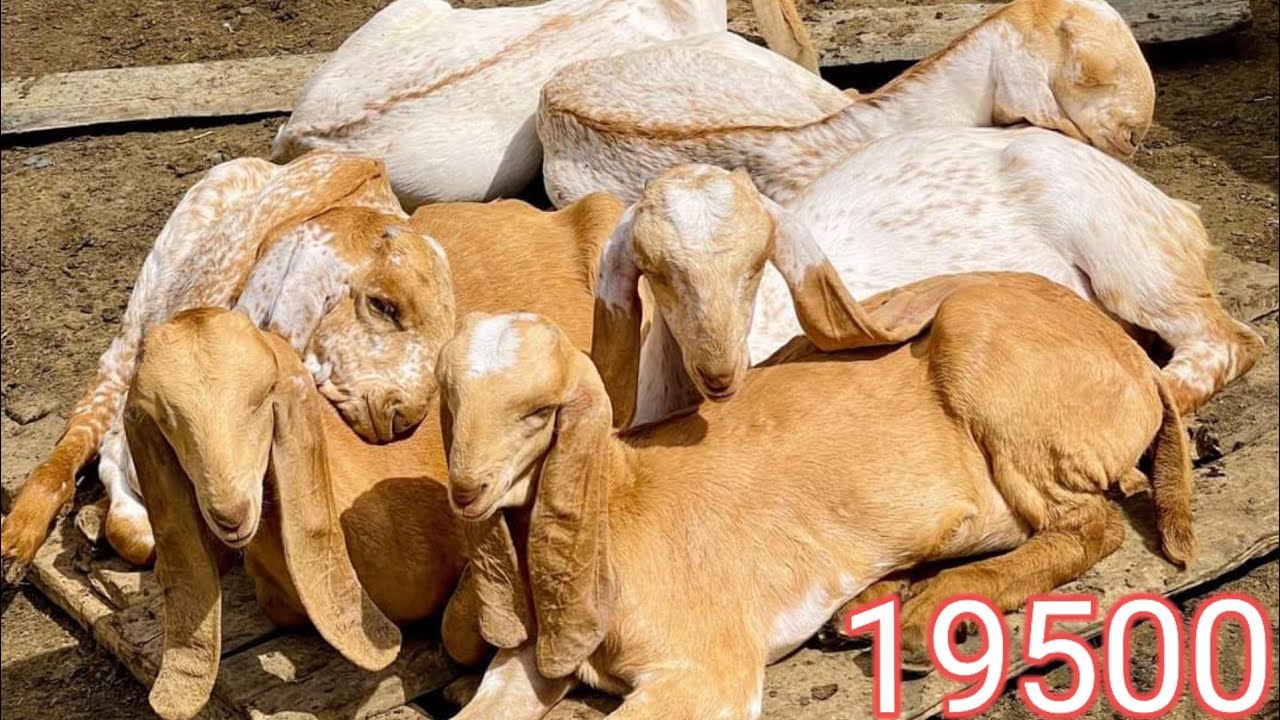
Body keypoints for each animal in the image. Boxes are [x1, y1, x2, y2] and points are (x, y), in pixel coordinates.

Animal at [435, 280, 1195, 719]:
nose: (468, 491)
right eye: (449, 398)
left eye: (539, 413)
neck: (619, 501)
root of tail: (1137, 363)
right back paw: (867, 607)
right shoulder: (529, 659)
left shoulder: (705, 671)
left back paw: (919, 622)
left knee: (1088, 527)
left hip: (1011, 397)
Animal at [594, 161, 1261, 426]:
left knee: (1226, 340)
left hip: (1132, 257)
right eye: (653, 270)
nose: (719, 373)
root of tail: (1177, 209)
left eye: (759, 264)